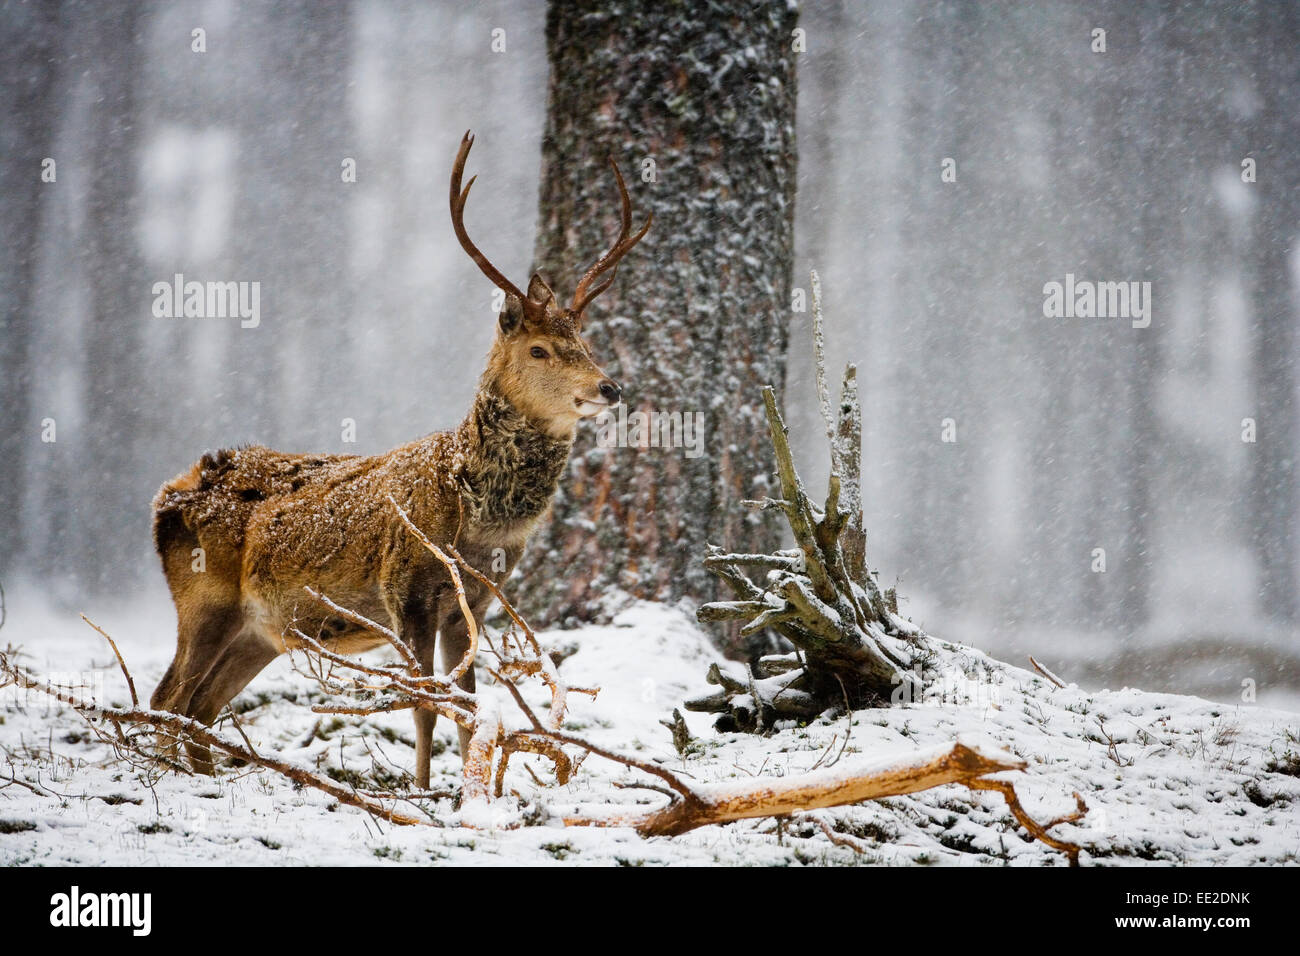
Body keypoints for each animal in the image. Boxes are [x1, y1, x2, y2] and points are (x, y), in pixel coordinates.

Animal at [149, 131, 650, 789]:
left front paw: (471, 787)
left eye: (585, 344)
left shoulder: (475, 601)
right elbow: (424, 703)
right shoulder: (404, 587)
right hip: (203, 596)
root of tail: (167, 497)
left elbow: (467, 702)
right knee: (170, 698)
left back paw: (202, 778)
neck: (475, 518)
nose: (609, 388)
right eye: (540, 349)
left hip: (260, 629)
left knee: (200, 705)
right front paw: (423, 790)